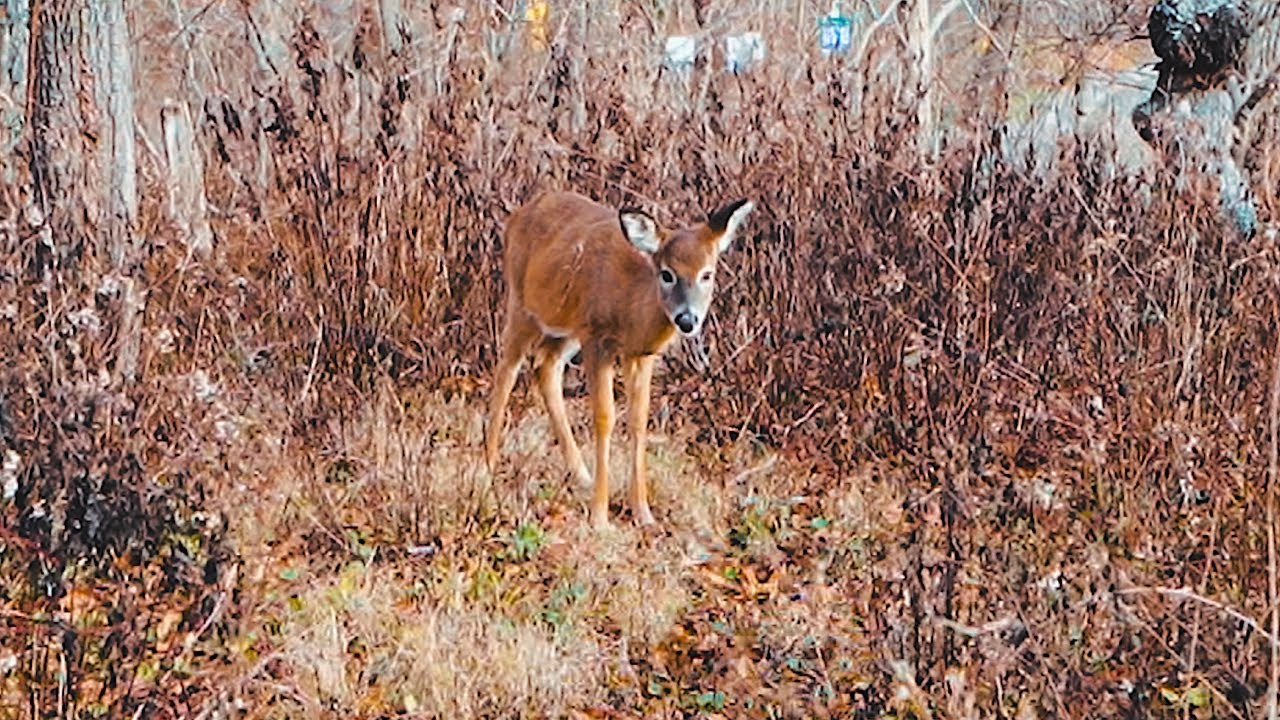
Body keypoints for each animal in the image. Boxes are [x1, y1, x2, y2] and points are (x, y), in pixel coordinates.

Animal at [485, 191, 755, 528]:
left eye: (707, 273)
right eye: (667, 274)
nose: (687, 320)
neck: (633, 310)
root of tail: (519, 214)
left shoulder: (639, 354)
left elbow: (638, 420)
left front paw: (643, 512)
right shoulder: (597, 338)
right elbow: (605, 418)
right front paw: (600, 516)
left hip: (565, 329)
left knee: (545, 367)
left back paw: (581, 474)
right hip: (522, 305)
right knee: (507, 370)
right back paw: (488, 465)